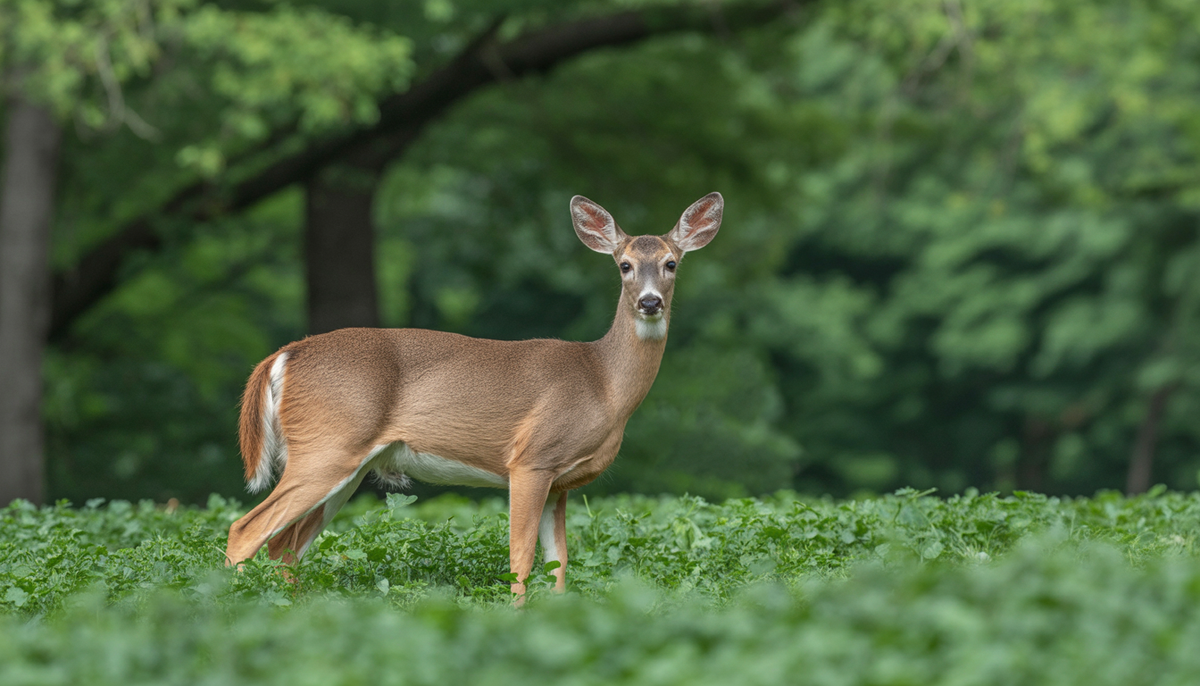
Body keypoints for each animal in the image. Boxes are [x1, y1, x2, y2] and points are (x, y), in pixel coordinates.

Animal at [224, 192, 723, 602]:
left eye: (671, 263)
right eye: (624, 264)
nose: (650, 302)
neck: (603, 382)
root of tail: (284, 355)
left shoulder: (560, 483)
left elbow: (560, 565)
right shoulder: (531, 459)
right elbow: (520, 558)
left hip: (347, 465)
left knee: (283, 546)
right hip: (328, 445)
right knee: (245, 530)